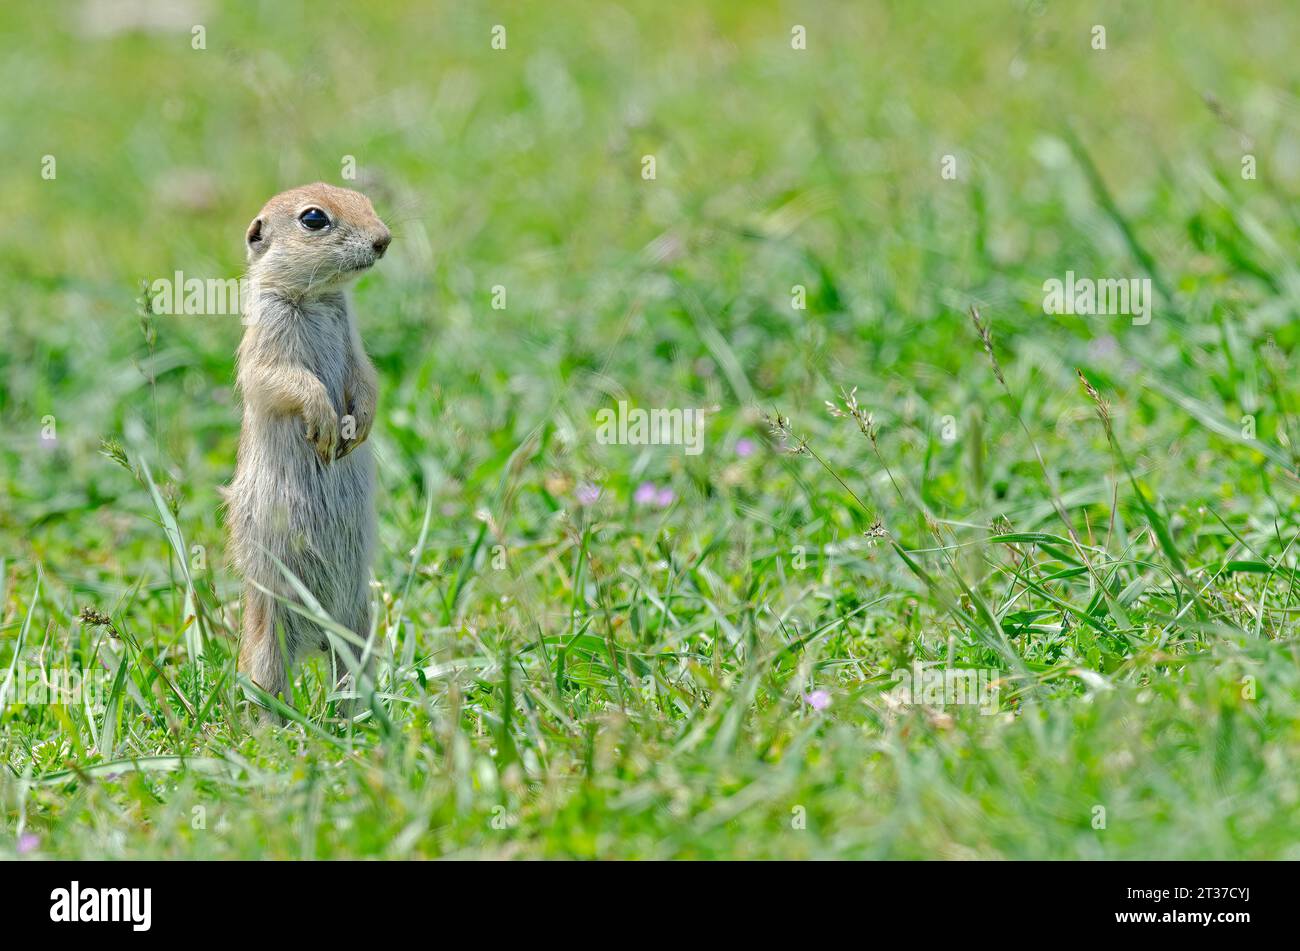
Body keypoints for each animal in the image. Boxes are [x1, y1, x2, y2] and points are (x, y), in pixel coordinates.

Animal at [226, 183, 390, 713]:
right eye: (314, 218)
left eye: (364, 198)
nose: (383, 239)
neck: (317, 297)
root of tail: (314, 639)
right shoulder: (265, 343)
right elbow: (282, 379)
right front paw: (324, 423)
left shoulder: (356, 342)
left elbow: (367, 376)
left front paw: (358, 425)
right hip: (268, 629)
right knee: (265, 682)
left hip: (361, 624)